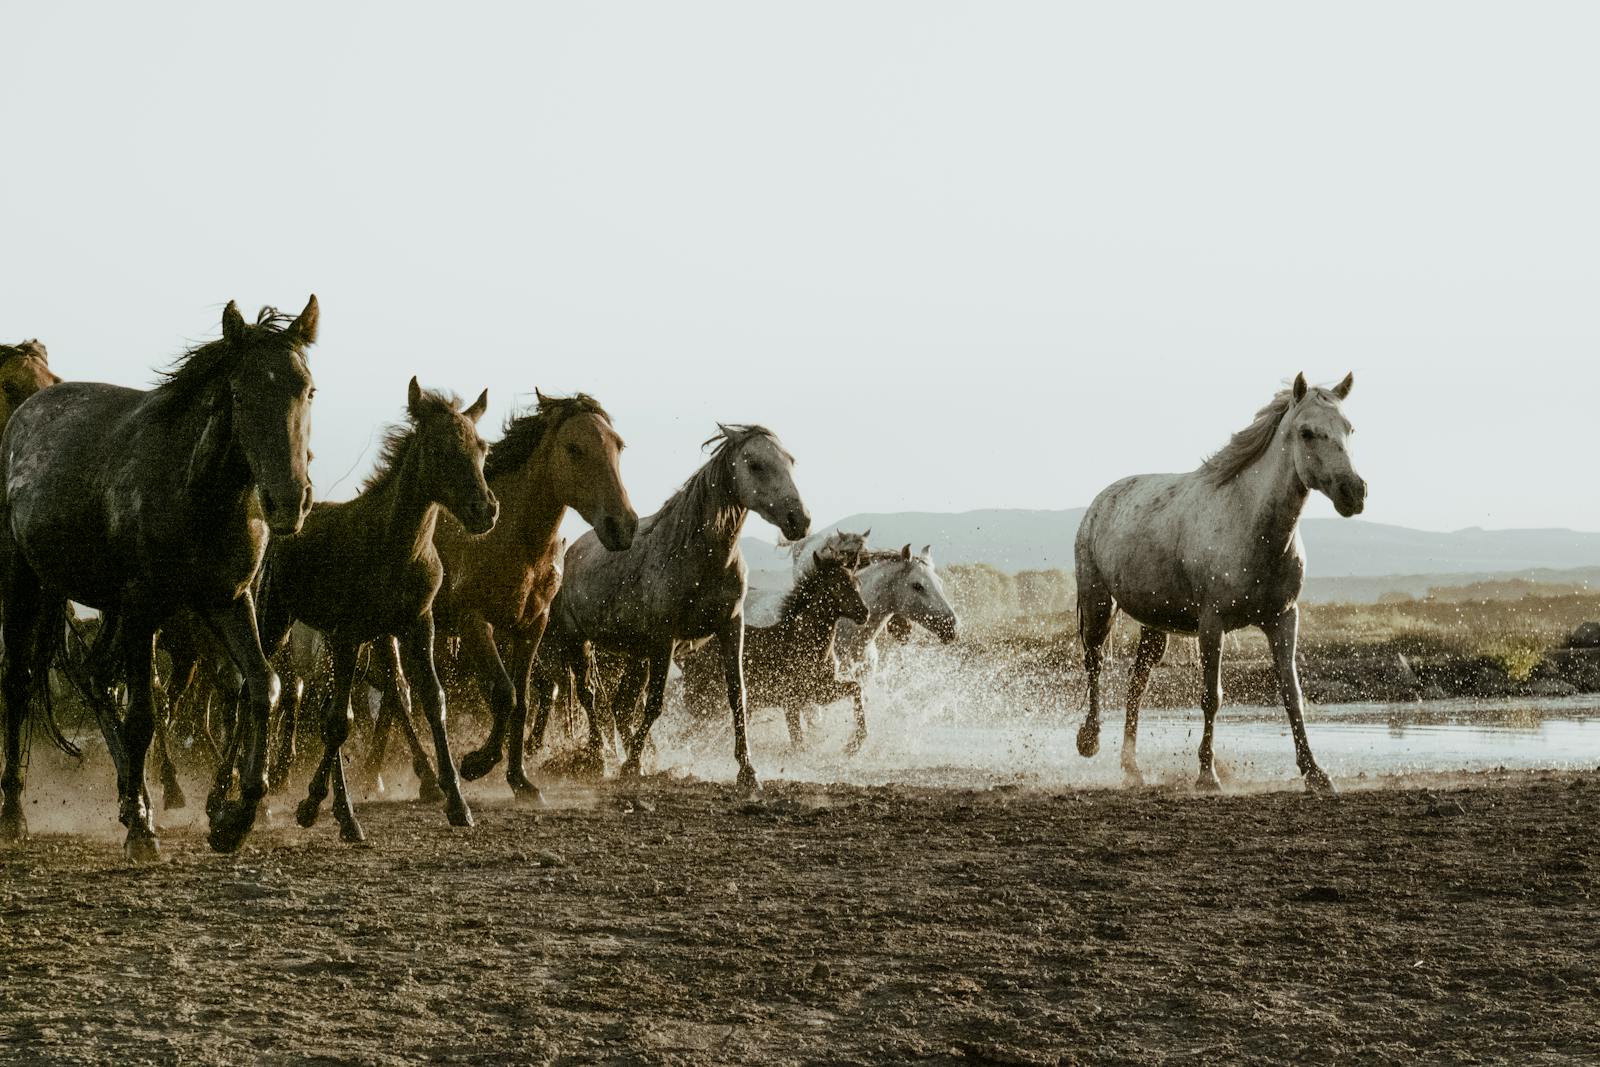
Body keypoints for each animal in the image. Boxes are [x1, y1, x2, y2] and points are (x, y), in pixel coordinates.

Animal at [0, 297, 319, 858]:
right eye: (240, 393)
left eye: (308, 390)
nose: (289, 502)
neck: (196, 492)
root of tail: (26, 414)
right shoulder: (145, 607)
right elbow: (146, 714)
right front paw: (143, 836)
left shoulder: (229, 600)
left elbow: (263, 686)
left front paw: (234, 818)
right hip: (26, 583)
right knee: (19, 683)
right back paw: (17, 813)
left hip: (105, 605)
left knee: (95, 677)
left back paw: (135, 801)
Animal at [255, 378, 497, 842]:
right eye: (439, 448)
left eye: (482, 447)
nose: (485, 510)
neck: (396, 547)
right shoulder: (348, 633)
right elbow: (338, 722)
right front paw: (327, 810)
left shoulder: (418, 626)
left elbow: (432, 701)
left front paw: (457, 802)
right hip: (277, 618)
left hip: (357, 639)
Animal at [533, 424, 810, 790]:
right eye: (755, 464)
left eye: (790, 461)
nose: (799, 519)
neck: (701, 556)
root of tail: (570, 551)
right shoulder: (665, 639)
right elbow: (654, 704)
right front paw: (631, 765)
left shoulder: (730, 627)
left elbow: (738, 698)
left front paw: (747, 771)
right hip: (579, 641)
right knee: (589, 696)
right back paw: (599, 758)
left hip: (637, 653)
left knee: (621, 706)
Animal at [681, 547, 869, 747]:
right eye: (834, 586)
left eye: (857, 582)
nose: (864, 613)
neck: (809, 647)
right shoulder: (791, 701)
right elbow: (798, 742)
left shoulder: (818, 692)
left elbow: (856, 688)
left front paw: (854, 744)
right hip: (710, 706)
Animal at [1074, 372, 1366, 793]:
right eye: (1307, 432)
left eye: (1349, 428)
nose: (1354, 492)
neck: (1252, 527)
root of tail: (1101, 501)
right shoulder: (1211, 624)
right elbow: (1212, 696)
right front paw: (1206, 775)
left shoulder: (1283, 619)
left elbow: (1292, 694)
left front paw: (1315, 773)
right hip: (1099, 604)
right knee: (1094, 664)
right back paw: (1089, 741)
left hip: (1155, 624)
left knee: (1136, 684)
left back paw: (1132, 768)